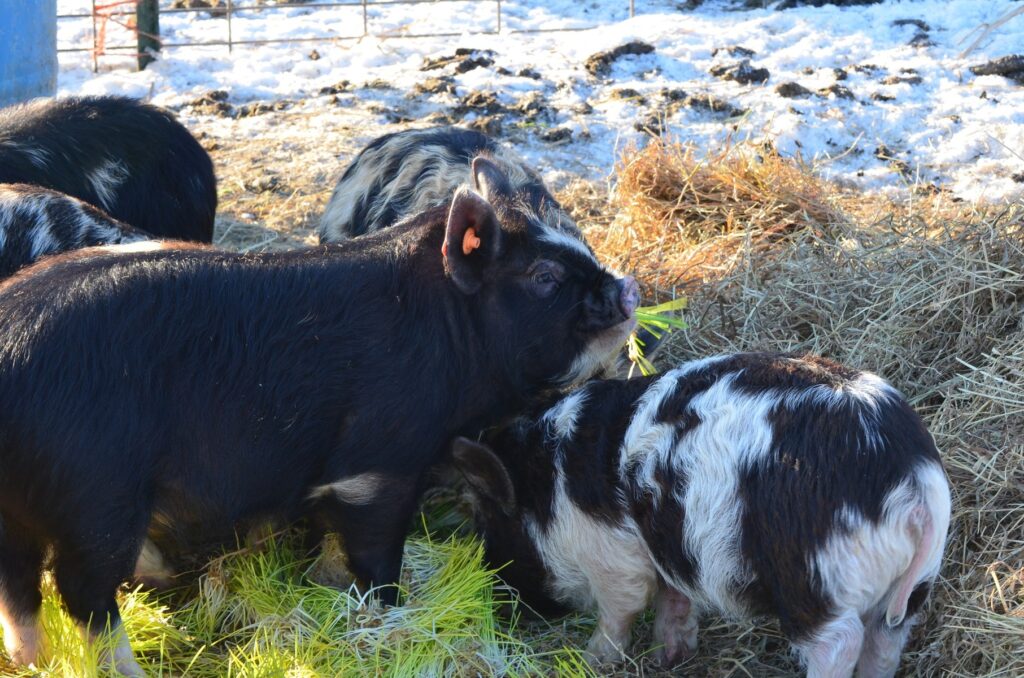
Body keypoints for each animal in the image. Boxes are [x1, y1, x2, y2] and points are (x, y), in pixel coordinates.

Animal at [451, 352, 951, 677]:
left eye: (484, 526)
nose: (503, 610)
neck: (547, 493)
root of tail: (911, 476)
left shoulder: (612, 556)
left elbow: (623, 607)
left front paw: (593, 660)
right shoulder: (668, 549)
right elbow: (674, 598)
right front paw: (669, 658)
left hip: (810, 575)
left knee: (840, 640)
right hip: (910, 585)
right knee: (886, 638)